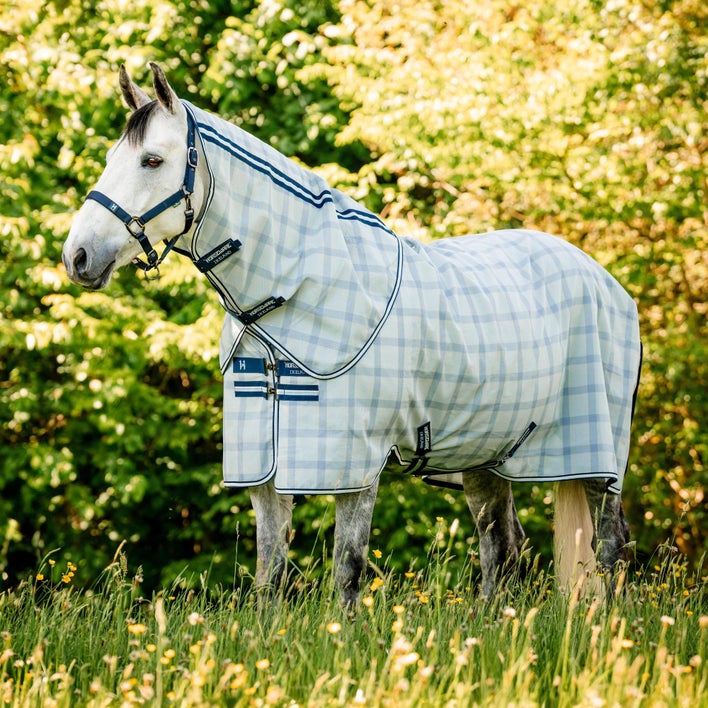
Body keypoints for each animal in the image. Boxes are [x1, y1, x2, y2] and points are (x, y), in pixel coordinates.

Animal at [62, 63, 641, 604]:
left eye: (152, 161)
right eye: (112, 159)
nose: (78, 257)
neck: (291, 297)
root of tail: (608, 283)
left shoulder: (354, 465)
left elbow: (347, 568)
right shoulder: (264, 471)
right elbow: (269, 573)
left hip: (599, 460)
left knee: (608, 547)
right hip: (488, 456)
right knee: (502, 546)